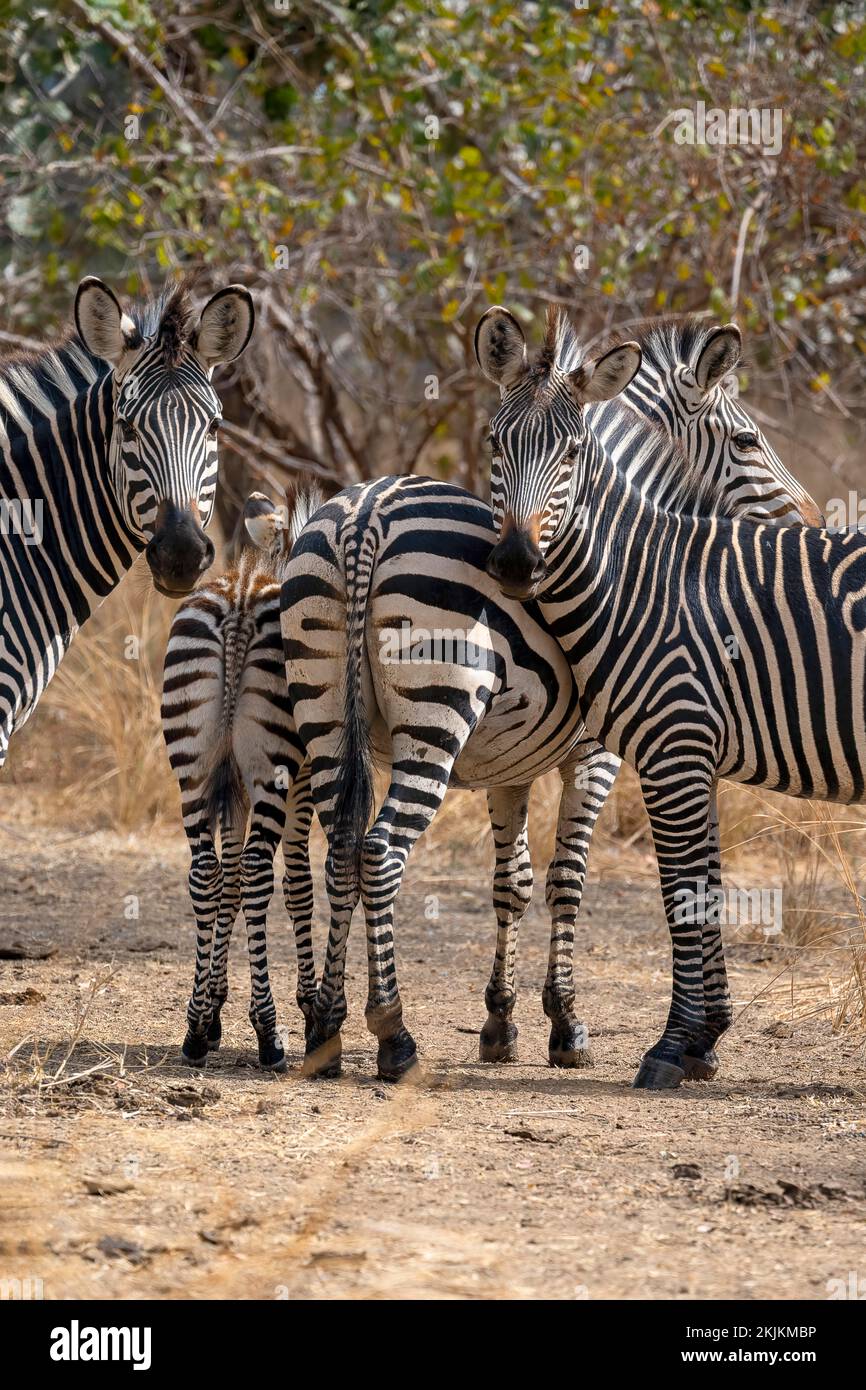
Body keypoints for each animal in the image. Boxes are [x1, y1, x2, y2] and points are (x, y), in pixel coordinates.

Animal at [161, 488, 321, 1069]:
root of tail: (240, 601)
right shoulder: (301, 785)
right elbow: (297, 884)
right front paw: (309, 1007)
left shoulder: (231, 789)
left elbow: (225, 882)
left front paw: (210, 1009)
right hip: (272, 770)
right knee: (254, 870)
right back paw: (270, 1034)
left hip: (193, 765)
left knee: (206, 871)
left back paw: (193, 1031)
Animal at [280, 314, 819, 1081]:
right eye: (748, 441)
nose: (813, 519)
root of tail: (367, 515)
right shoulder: (596, 754)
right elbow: (569, 877)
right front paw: (568, 1025)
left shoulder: (509, 763)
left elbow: (512, 882)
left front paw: (499, 1023)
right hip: (436, 714)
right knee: (381, 849)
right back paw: (394, 1035)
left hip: (321, 711)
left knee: (342, 848)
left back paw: (325, 1026)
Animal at [477, 303, 866, 1088]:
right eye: (496, 444)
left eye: (574, 453)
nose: (514, 562)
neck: (647, 573)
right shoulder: (671, 755)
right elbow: (682, 884)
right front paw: (698, 1038)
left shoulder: (657, 751)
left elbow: (659, 886)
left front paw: (671, 1042)